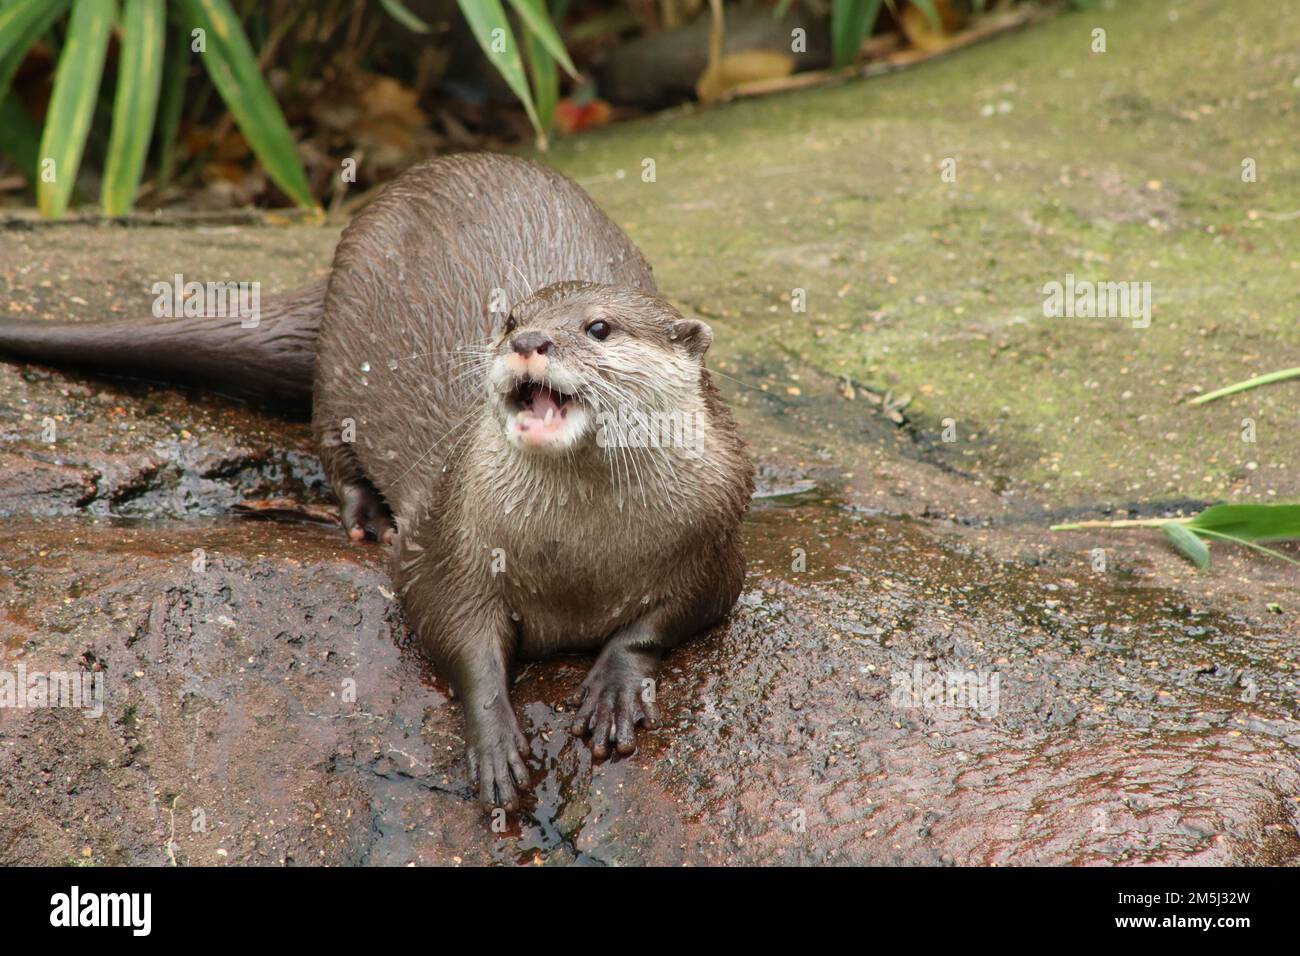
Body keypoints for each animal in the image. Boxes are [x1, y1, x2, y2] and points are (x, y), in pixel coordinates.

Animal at [0, 153, 754, 809]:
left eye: (598, 327)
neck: (579, 557)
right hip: (339, 365)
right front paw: (495, 738)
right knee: (333, 443)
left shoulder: (714, 540)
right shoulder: (451, 537)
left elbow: (665, 619)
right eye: (511, 318)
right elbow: (452, 627)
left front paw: (615, 687)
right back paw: (366, 516)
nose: (527, 340)